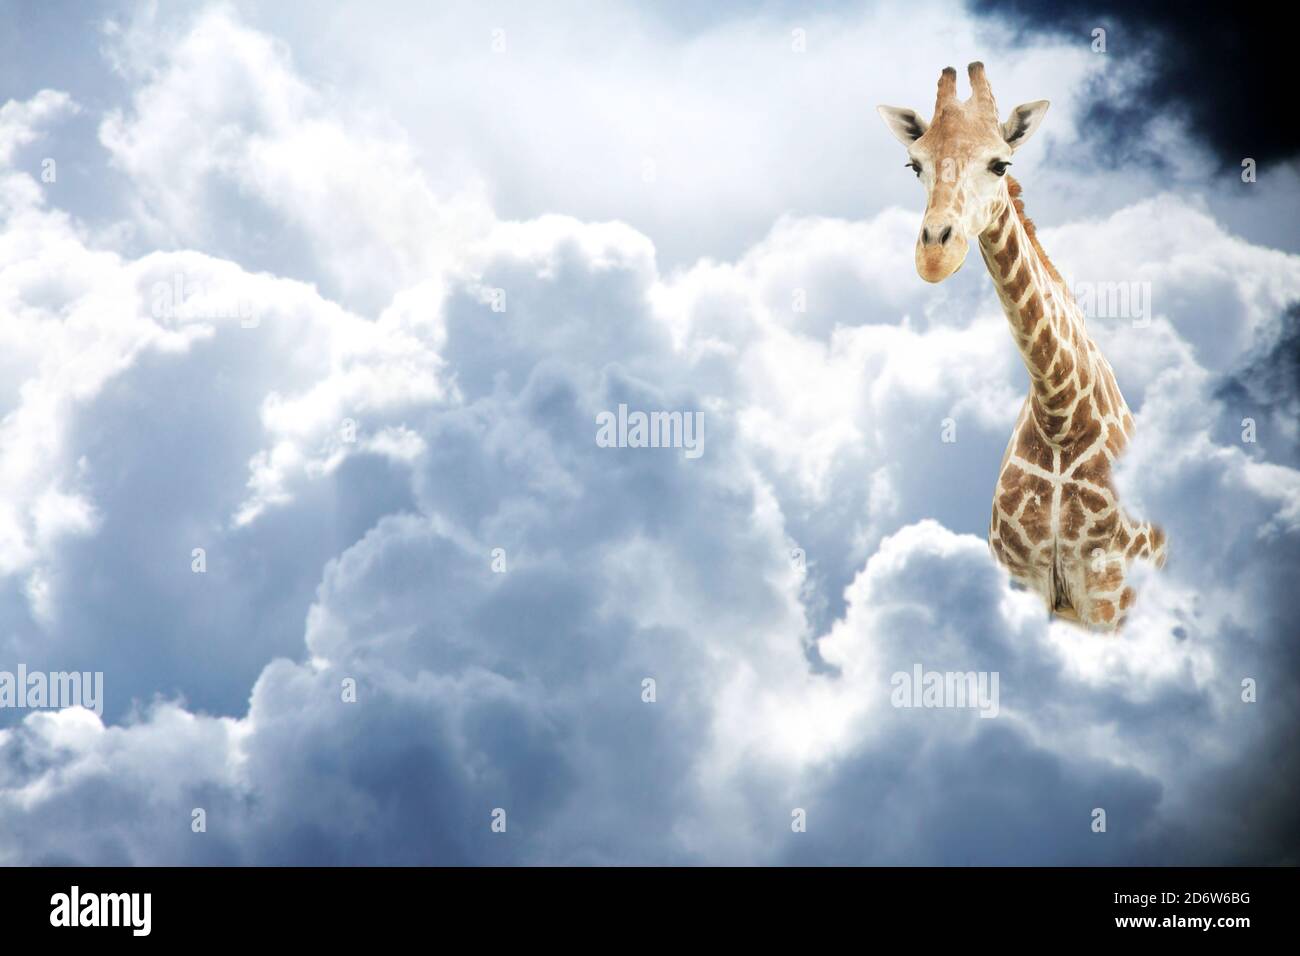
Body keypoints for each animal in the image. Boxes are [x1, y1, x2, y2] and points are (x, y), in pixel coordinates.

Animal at [876, 62, 1166, 631]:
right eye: (914, 164)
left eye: (1000, 163)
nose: (934, 258)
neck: (1060, 414)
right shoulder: (1023, 581)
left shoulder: (1109, 589)